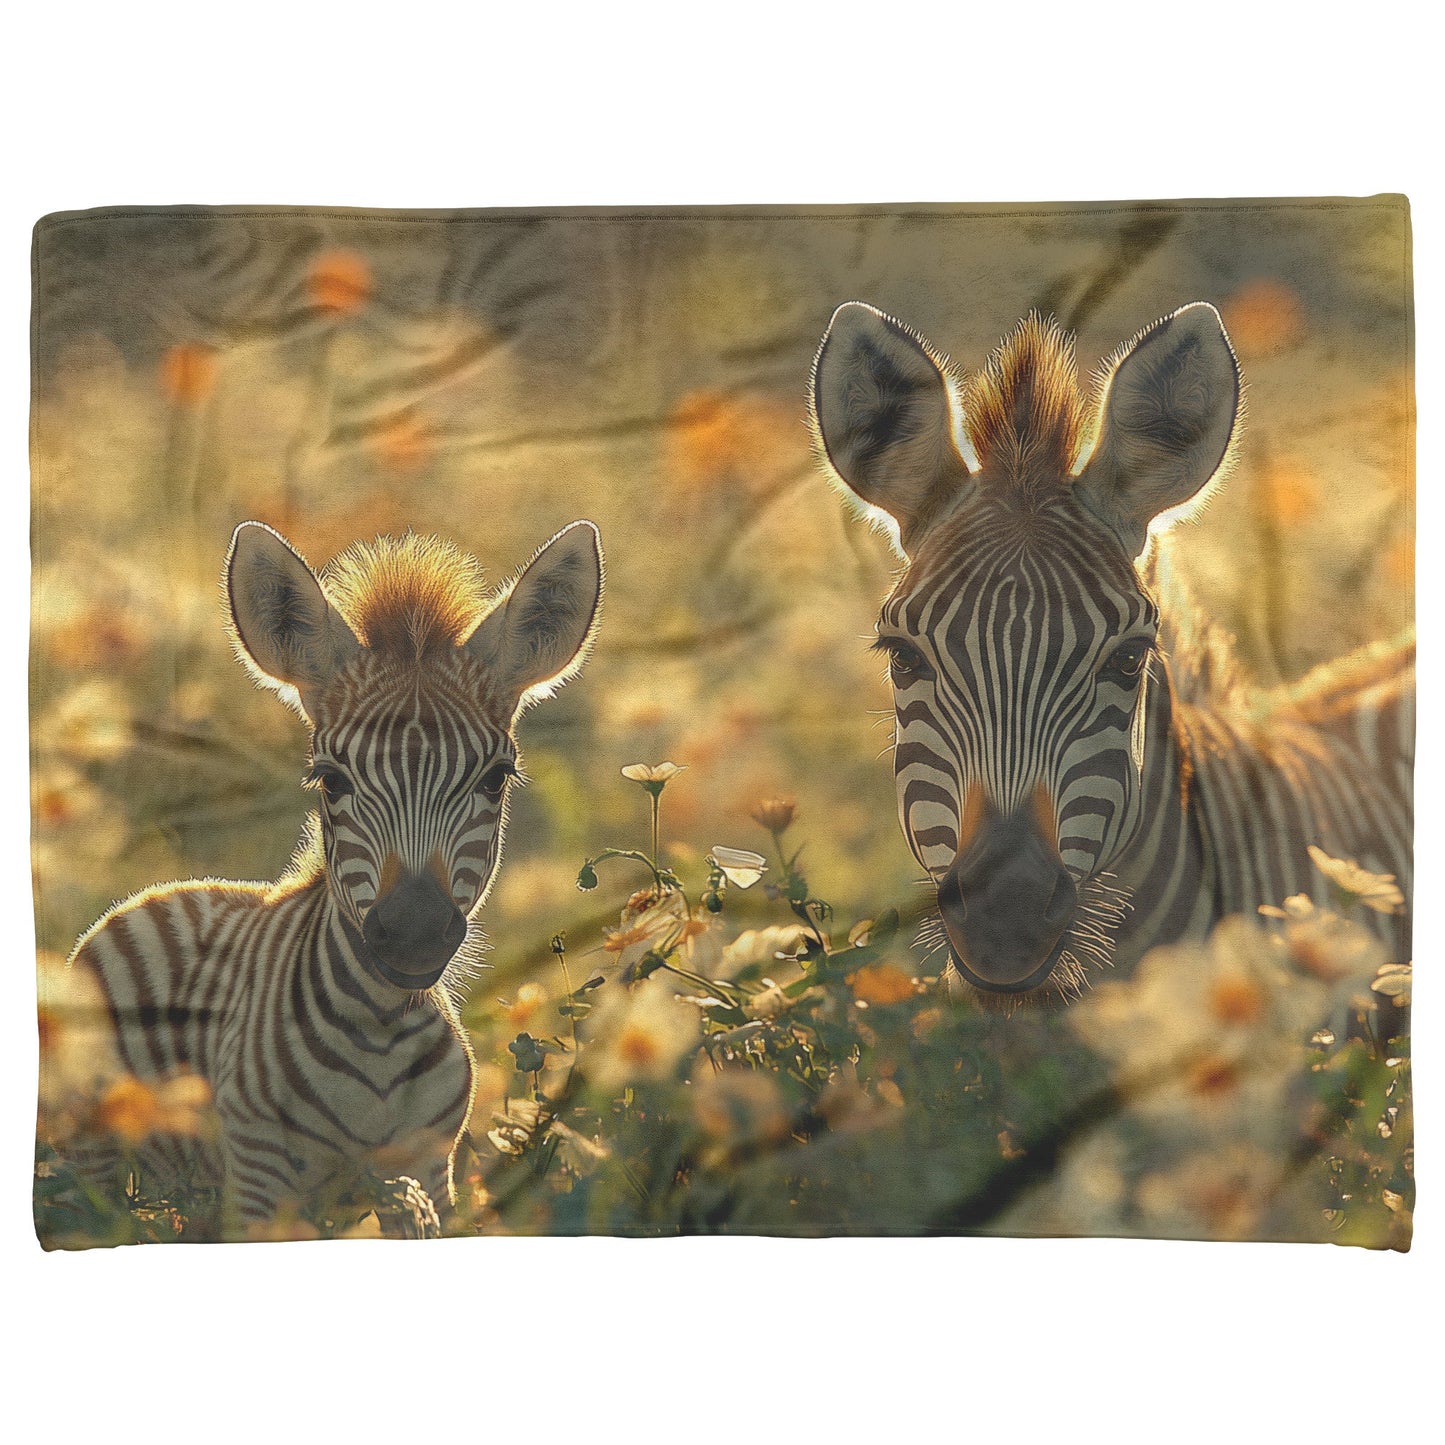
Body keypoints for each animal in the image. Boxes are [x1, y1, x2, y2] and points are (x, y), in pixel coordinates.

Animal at [66, 519, 604, 1233]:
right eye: (330, 780)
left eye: (496, 780)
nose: (414, 933)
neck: (380, 1030)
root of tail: (148, 895)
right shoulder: (259, 1179)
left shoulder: (427, 1171)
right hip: (96, 1167)